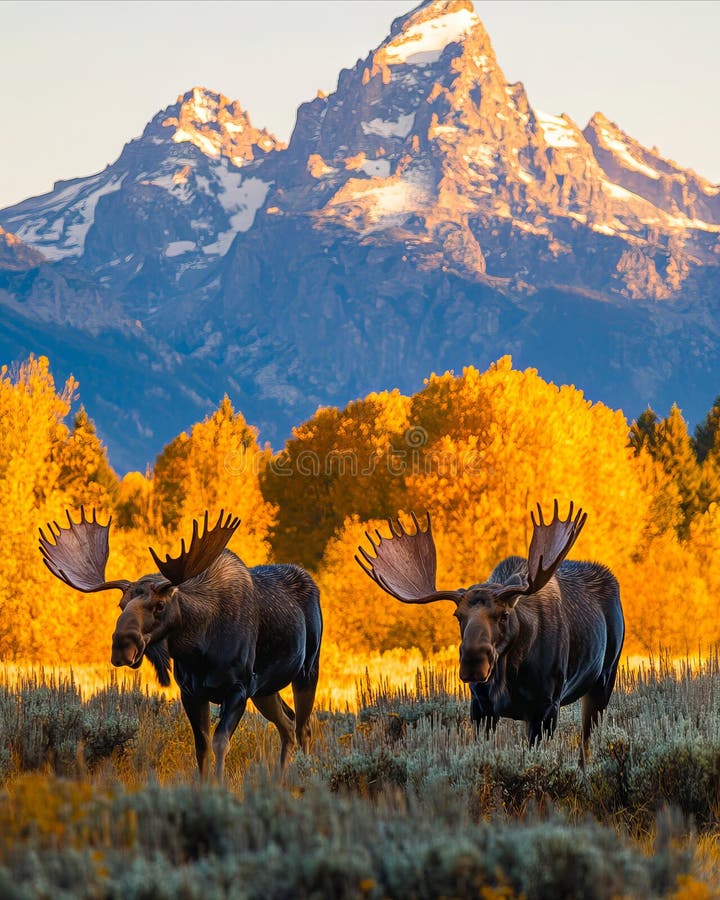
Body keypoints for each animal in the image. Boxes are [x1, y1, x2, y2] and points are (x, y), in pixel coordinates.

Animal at [39, 508, 322, 781]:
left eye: (159, 605)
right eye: (121, 605)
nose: (122, 648)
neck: (199, 652)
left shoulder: (239, 687)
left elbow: (220, 743)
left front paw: (219, 786)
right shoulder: (191, 691)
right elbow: (202, 746)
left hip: (307, 670)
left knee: (304, 727)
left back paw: (305, 777)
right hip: (265, 689)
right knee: (287, 724)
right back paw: (281, 780)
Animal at [356, 501, 624, 764]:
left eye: (504, 614)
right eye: (458, 616)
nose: (474, 662)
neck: (509, 676)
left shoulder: (546, 707)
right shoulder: (481, 706)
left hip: (604, 679)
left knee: (586, 745)